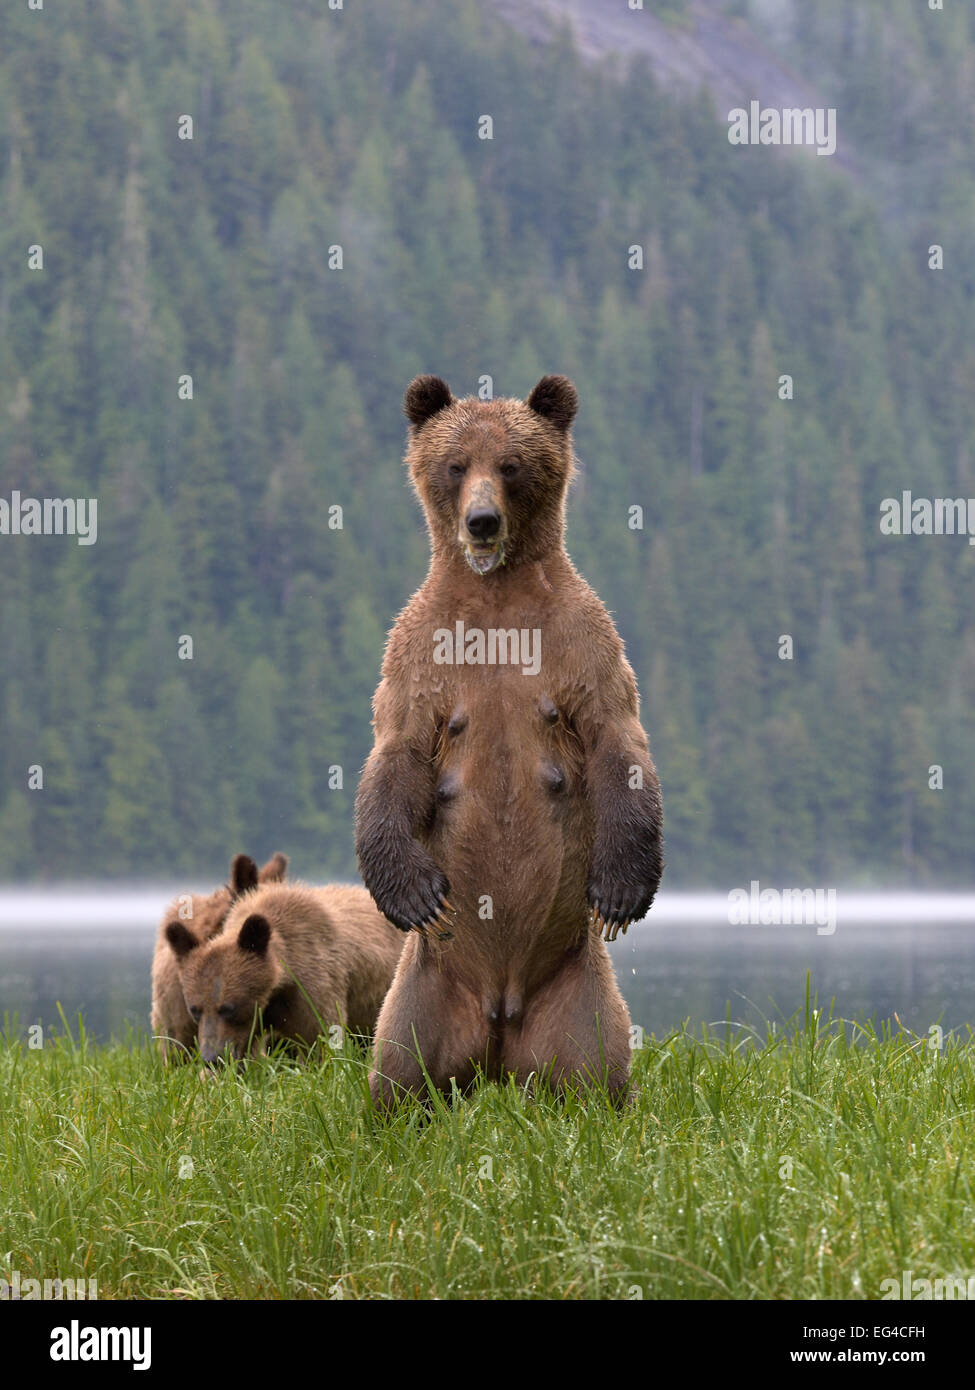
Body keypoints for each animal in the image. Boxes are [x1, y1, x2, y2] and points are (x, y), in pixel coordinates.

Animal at [355, 374, 663, 1109]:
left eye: (512, 465)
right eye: (456, 464)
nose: (481, 521)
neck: (495, 601)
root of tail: (498, 1034)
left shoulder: (581, 642)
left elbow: (619, 743)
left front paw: (621, 891)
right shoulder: (419, 655)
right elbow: (393, 756)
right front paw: (411, 893)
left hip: (579, 995)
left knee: (597, 1065)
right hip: (420, 992)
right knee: (397, 1068)